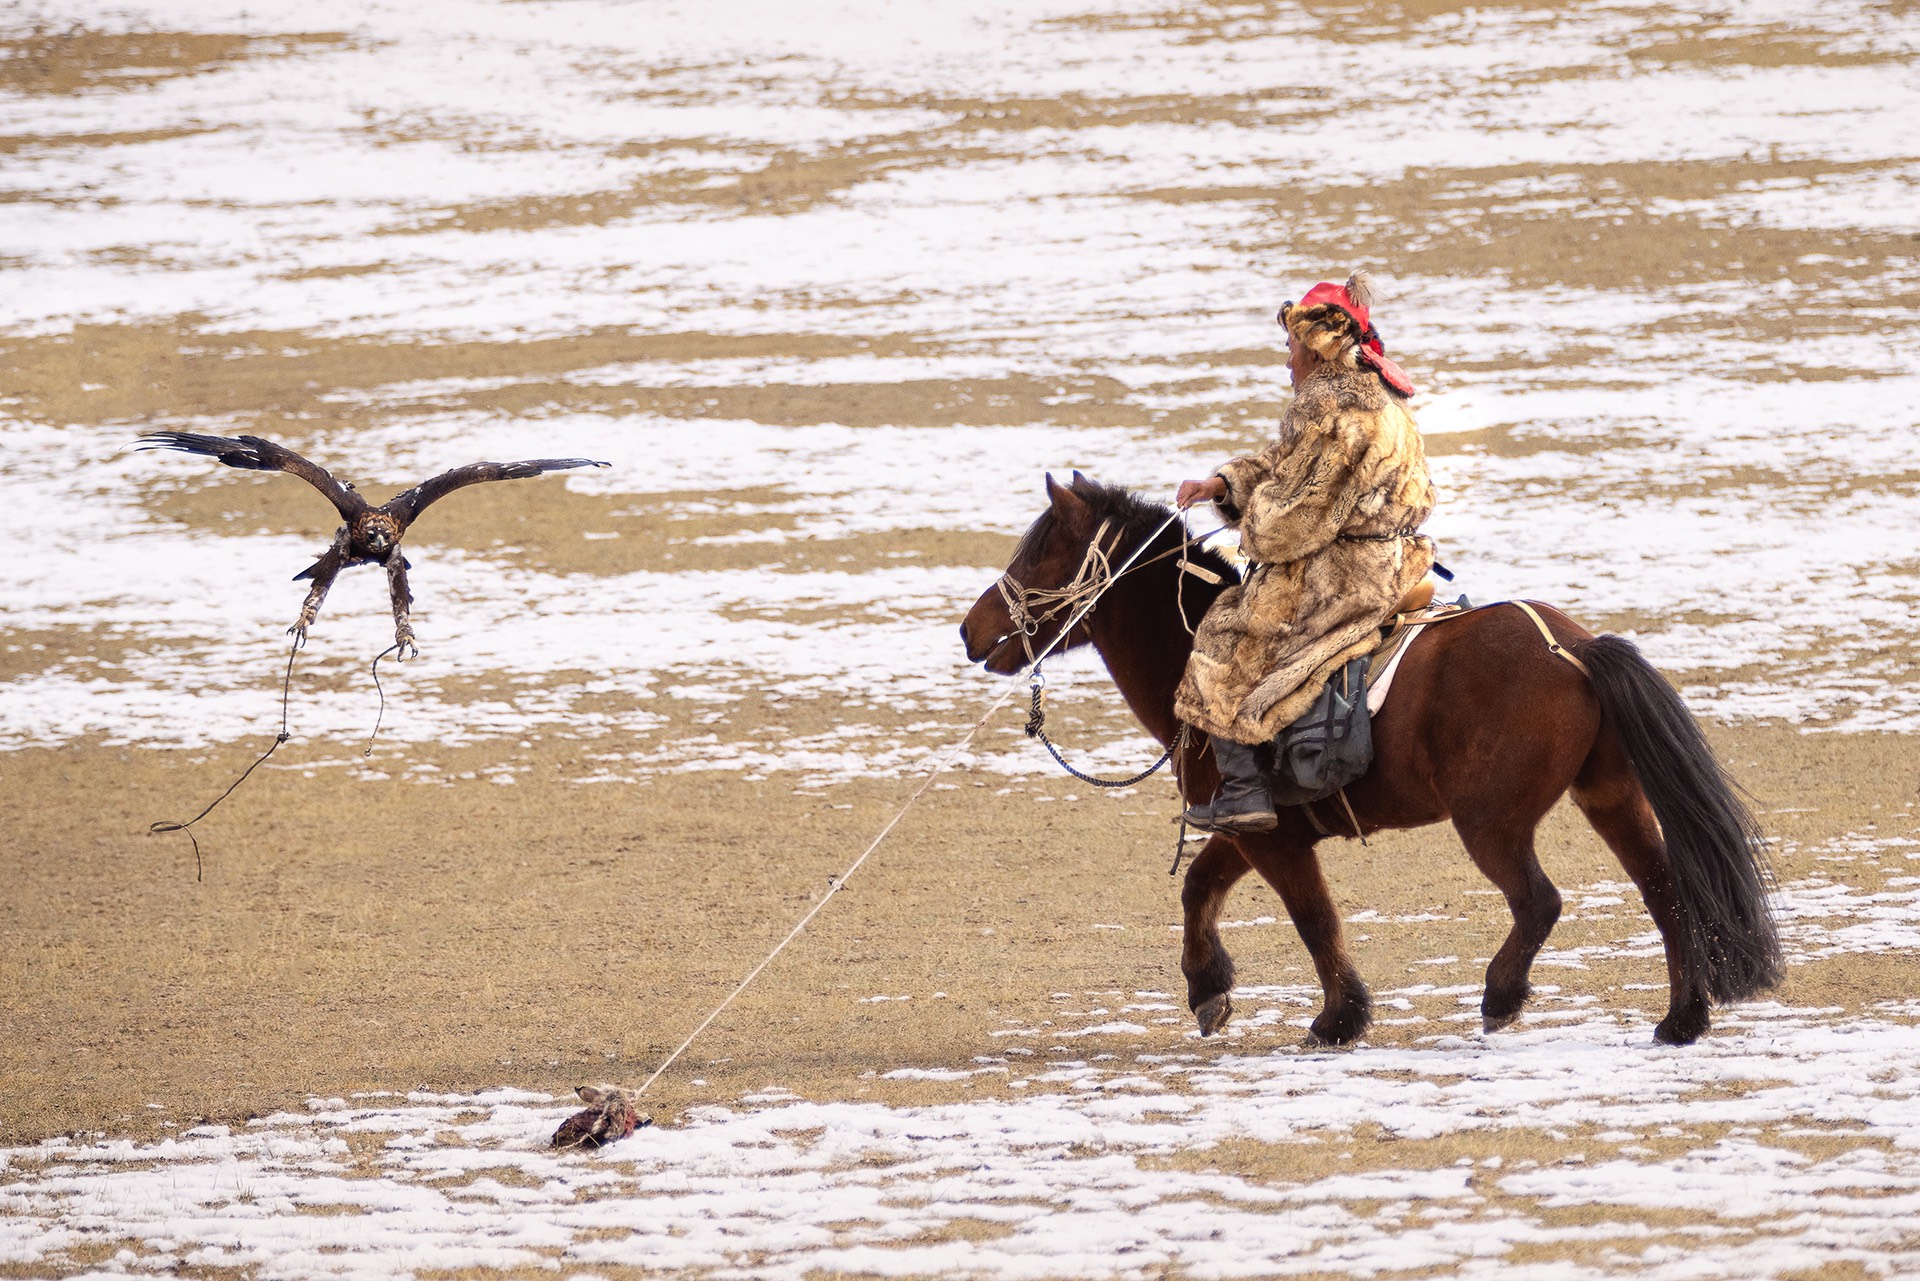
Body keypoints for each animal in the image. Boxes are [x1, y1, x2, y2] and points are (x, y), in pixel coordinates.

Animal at [960, 476, 1781, 1044]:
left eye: (1040, 549)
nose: (970, 630)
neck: (1190, 655)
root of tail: (1573, 647)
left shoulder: (1273, 840)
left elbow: (1313, 918)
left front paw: (1338, 1018)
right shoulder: (1256, 831)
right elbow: (1199, 887)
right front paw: (1208, 991)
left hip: (1492, 821)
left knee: (1539, 901)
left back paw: (1501, 996)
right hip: (1608, 795)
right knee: (1665, 891)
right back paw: (1682, 1019)